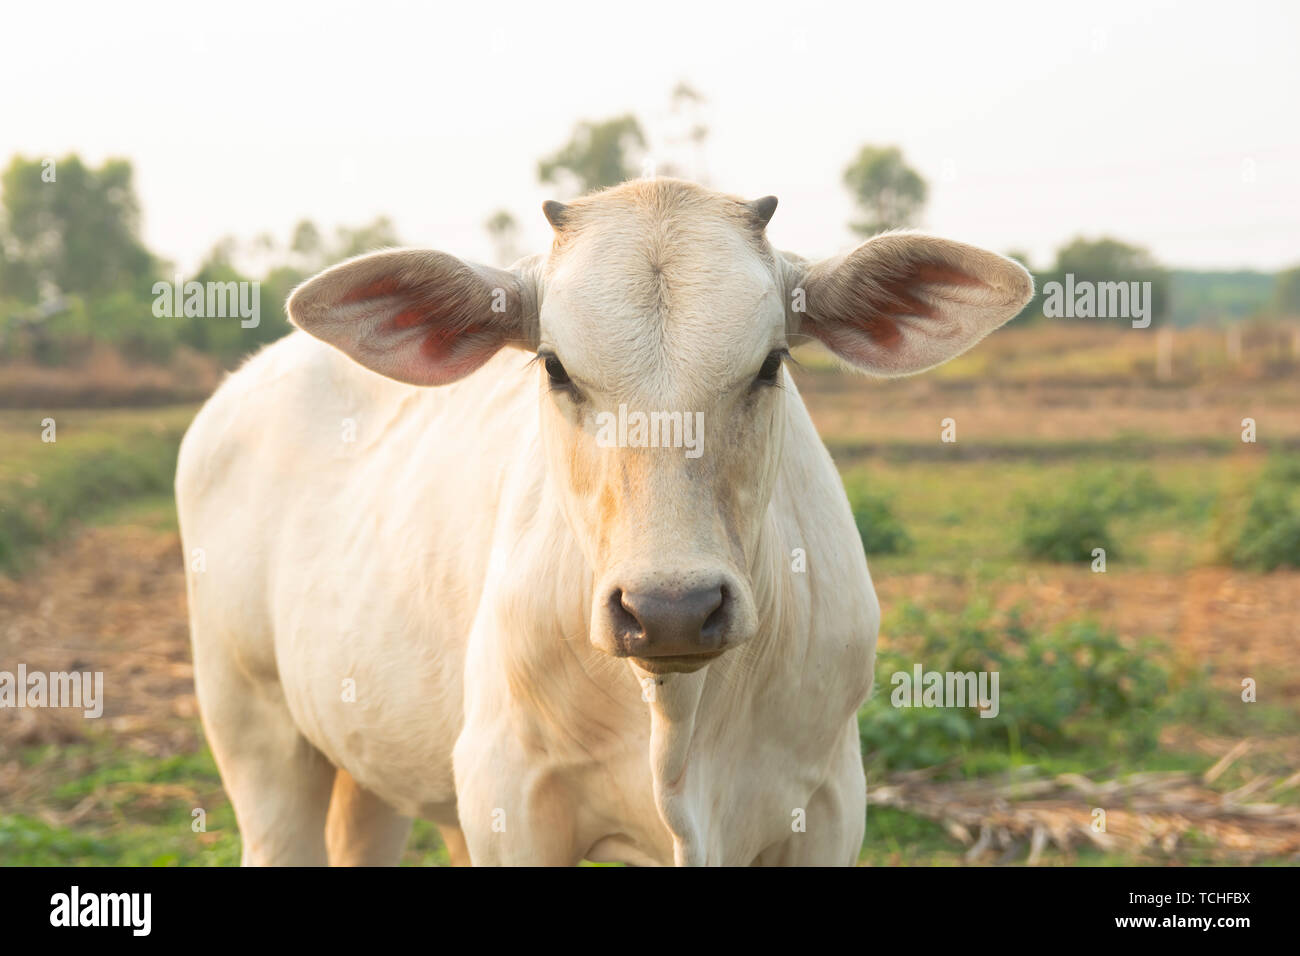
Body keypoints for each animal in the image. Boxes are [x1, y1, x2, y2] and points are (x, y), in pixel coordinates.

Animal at [176, 178, 1032, 866]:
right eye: (556, 367)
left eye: (770, 364)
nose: (671, 609)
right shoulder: (511, 803)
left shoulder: (826, 806)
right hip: (253, 729)